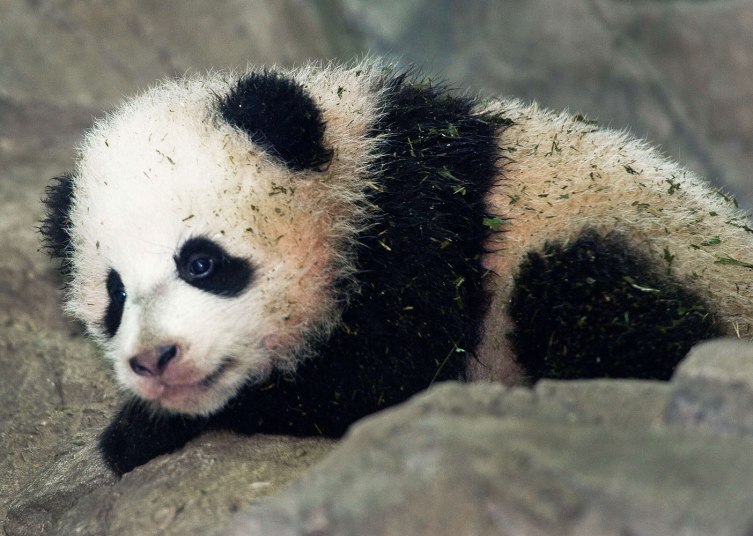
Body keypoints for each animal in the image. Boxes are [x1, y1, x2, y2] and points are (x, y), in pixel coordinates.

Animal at [40, 59, 753, 475]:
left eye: (201, 262)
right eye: (114, 297)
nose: (155, 360)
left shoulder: (427, 230)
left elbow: (384, 377)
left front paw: (133, 434)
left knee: (593, 296)